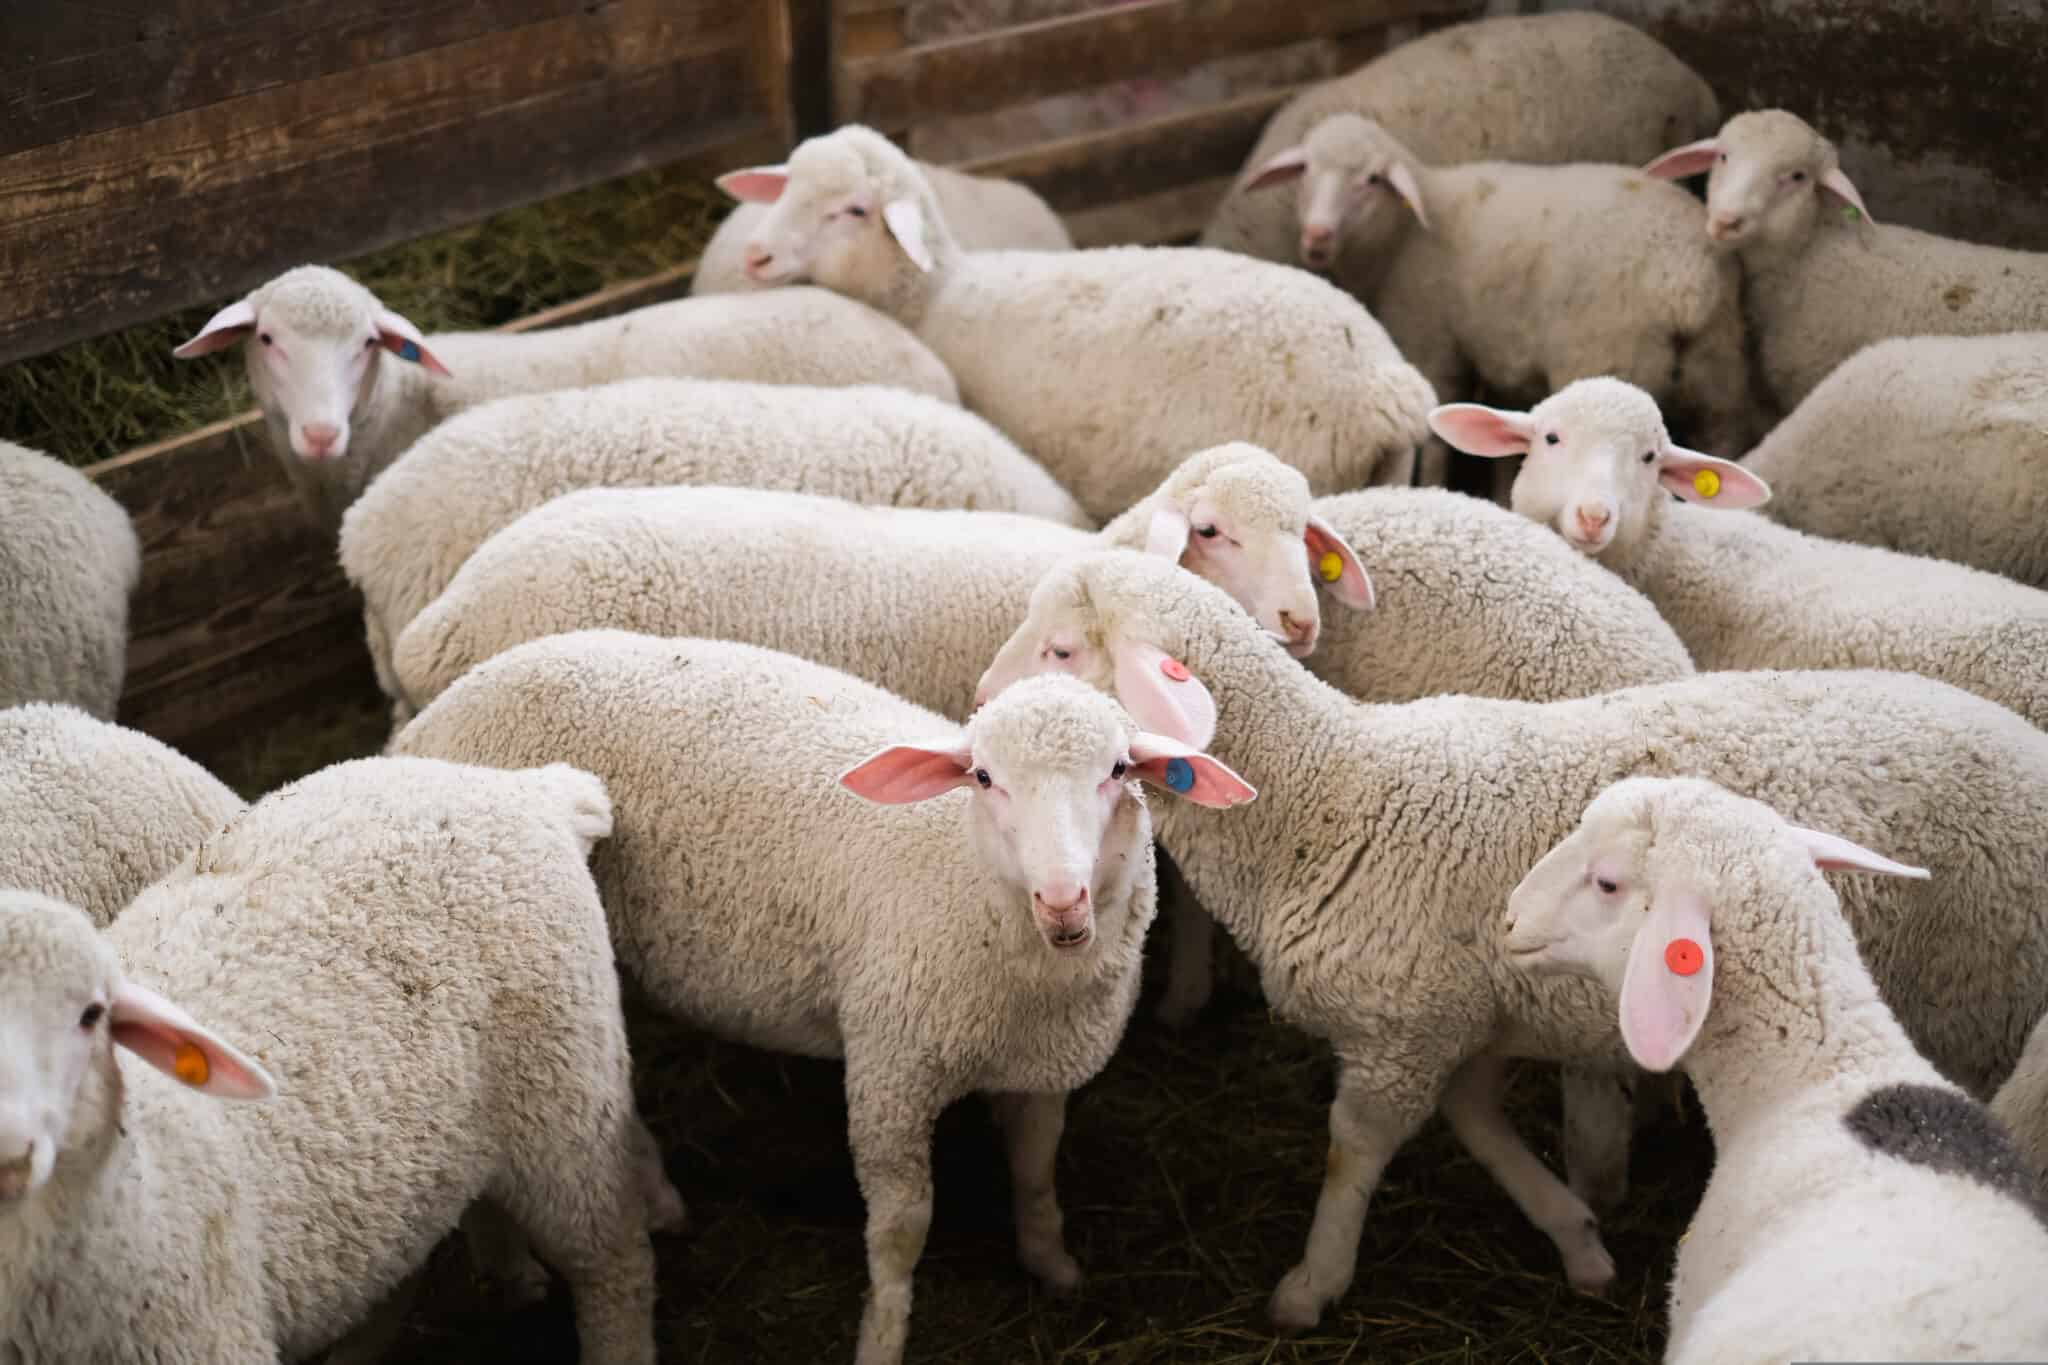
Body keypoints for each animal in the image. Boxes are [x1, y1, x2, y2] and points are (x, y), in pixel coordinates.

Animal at [389, 631, 1254, 1365]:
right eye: (983, 778)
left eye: (1118, 771)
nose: (1063, 900)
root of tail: (434, 717)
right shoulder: (890, 1070)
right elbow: (901, 1232)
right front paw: (881, 1339)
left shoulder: (1044, 1065)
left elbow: (1036, 1170)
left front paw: (1054, 1265)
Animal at [1234, 114, 1752, 481]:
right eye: (1306, 172)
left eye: (1372, 180)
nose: (1316, 237)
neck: (1406, 233)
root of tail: (1686, 278)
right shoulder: (1506, 359)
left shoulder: (1434, 345)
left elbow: (1439, 441)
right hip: (1719, 369)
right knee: (1725, 439)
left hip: (1610, 356)